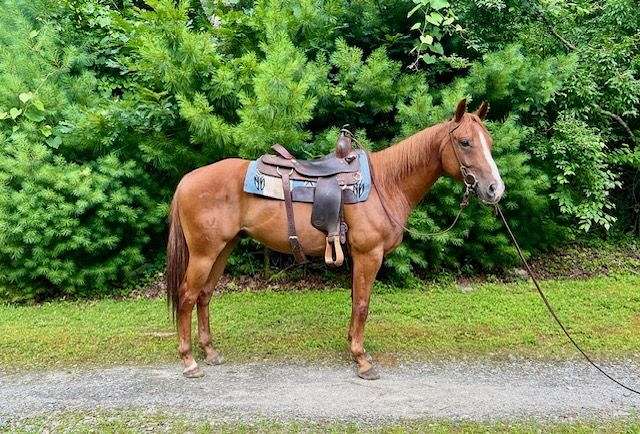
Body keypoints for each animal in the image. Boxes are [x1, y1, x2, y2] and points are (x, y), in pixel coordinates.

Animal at [165, 99, 504, 379]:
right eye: (465, 142)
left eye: (489, 141)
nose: (495, 189)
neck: (385, 184)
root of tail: (186, 180)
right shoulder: (369, 254)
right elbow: (363, 304)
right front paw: (362, 360)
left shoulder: (358, 256)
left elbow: (355, 301)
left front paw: (352, 347)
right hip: (204, 254)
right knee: (187, 296)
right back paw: (189, 361)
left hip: (223, 249)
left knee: (204, 296)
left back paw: (210, 352)